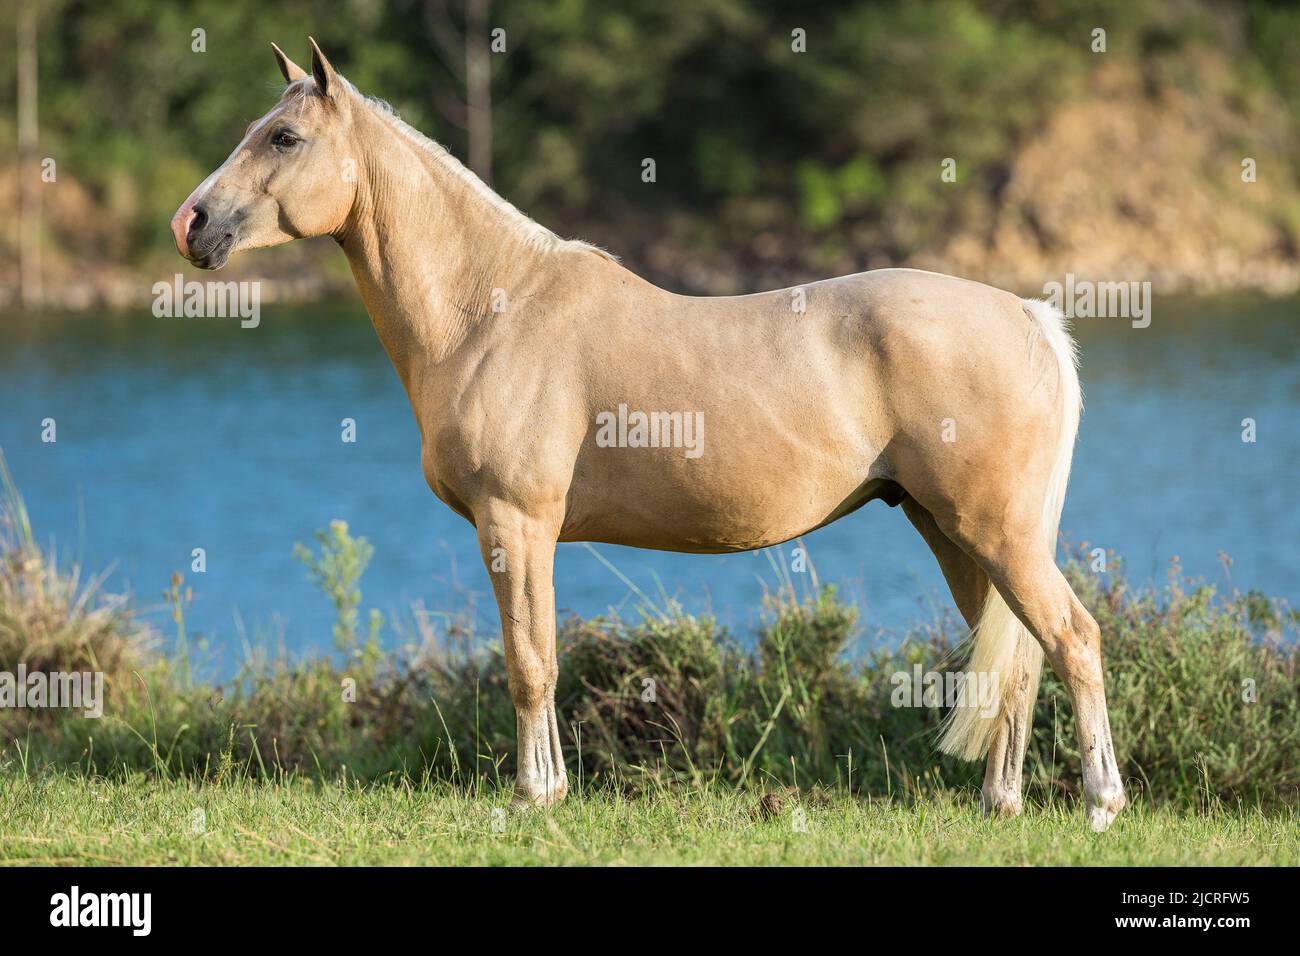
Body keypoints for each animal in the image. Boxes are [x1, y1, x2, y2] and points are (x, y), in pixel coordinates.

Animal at [170, 40, 1126, 831]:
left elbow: (529, 664)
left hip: (993, 532)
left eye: (283, 137)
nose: (192, 224)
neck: (492, 311)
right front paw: (552, 789)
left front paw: (533, 796)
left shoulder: (517, 524)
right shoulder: (527, 531)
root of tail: (1029, 316)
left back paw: (1100, 804)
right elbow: (542, 659)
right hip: (953, 532)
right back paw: (1001, 803)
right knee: (1018, 661)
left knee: (1072, 639)